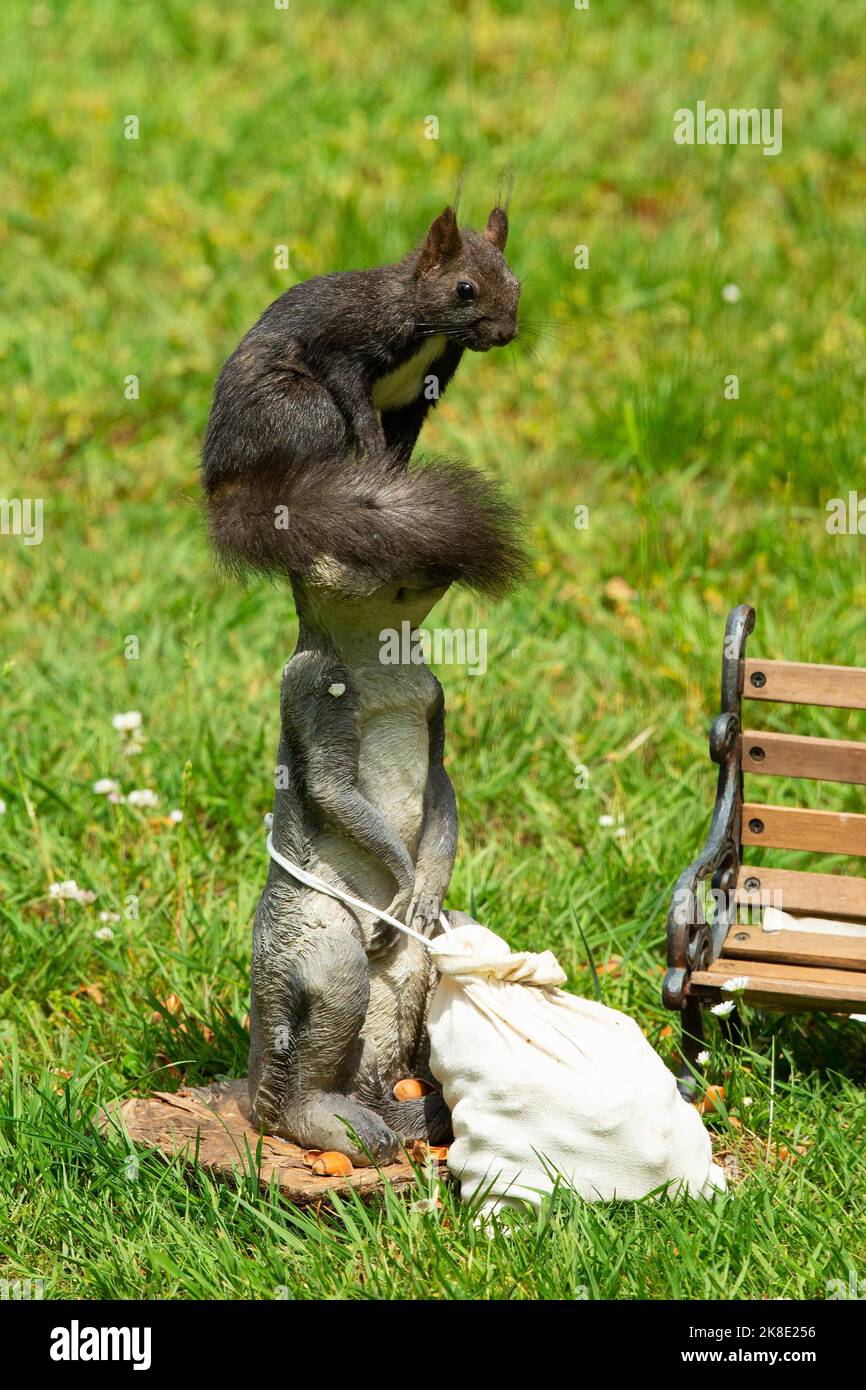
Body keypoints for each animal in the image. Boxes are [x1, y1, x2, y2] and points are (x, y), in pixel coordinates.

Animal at [202, 205, 527, 1163]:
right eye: (465, 287)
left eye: (516, 283)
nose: (505, 332)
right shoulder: (351, 355)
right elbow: (333, 784)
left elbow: (444, 791)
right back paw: (327, 1118)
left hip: (408, 975)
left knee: (403, 990)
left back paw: (411, 1108)